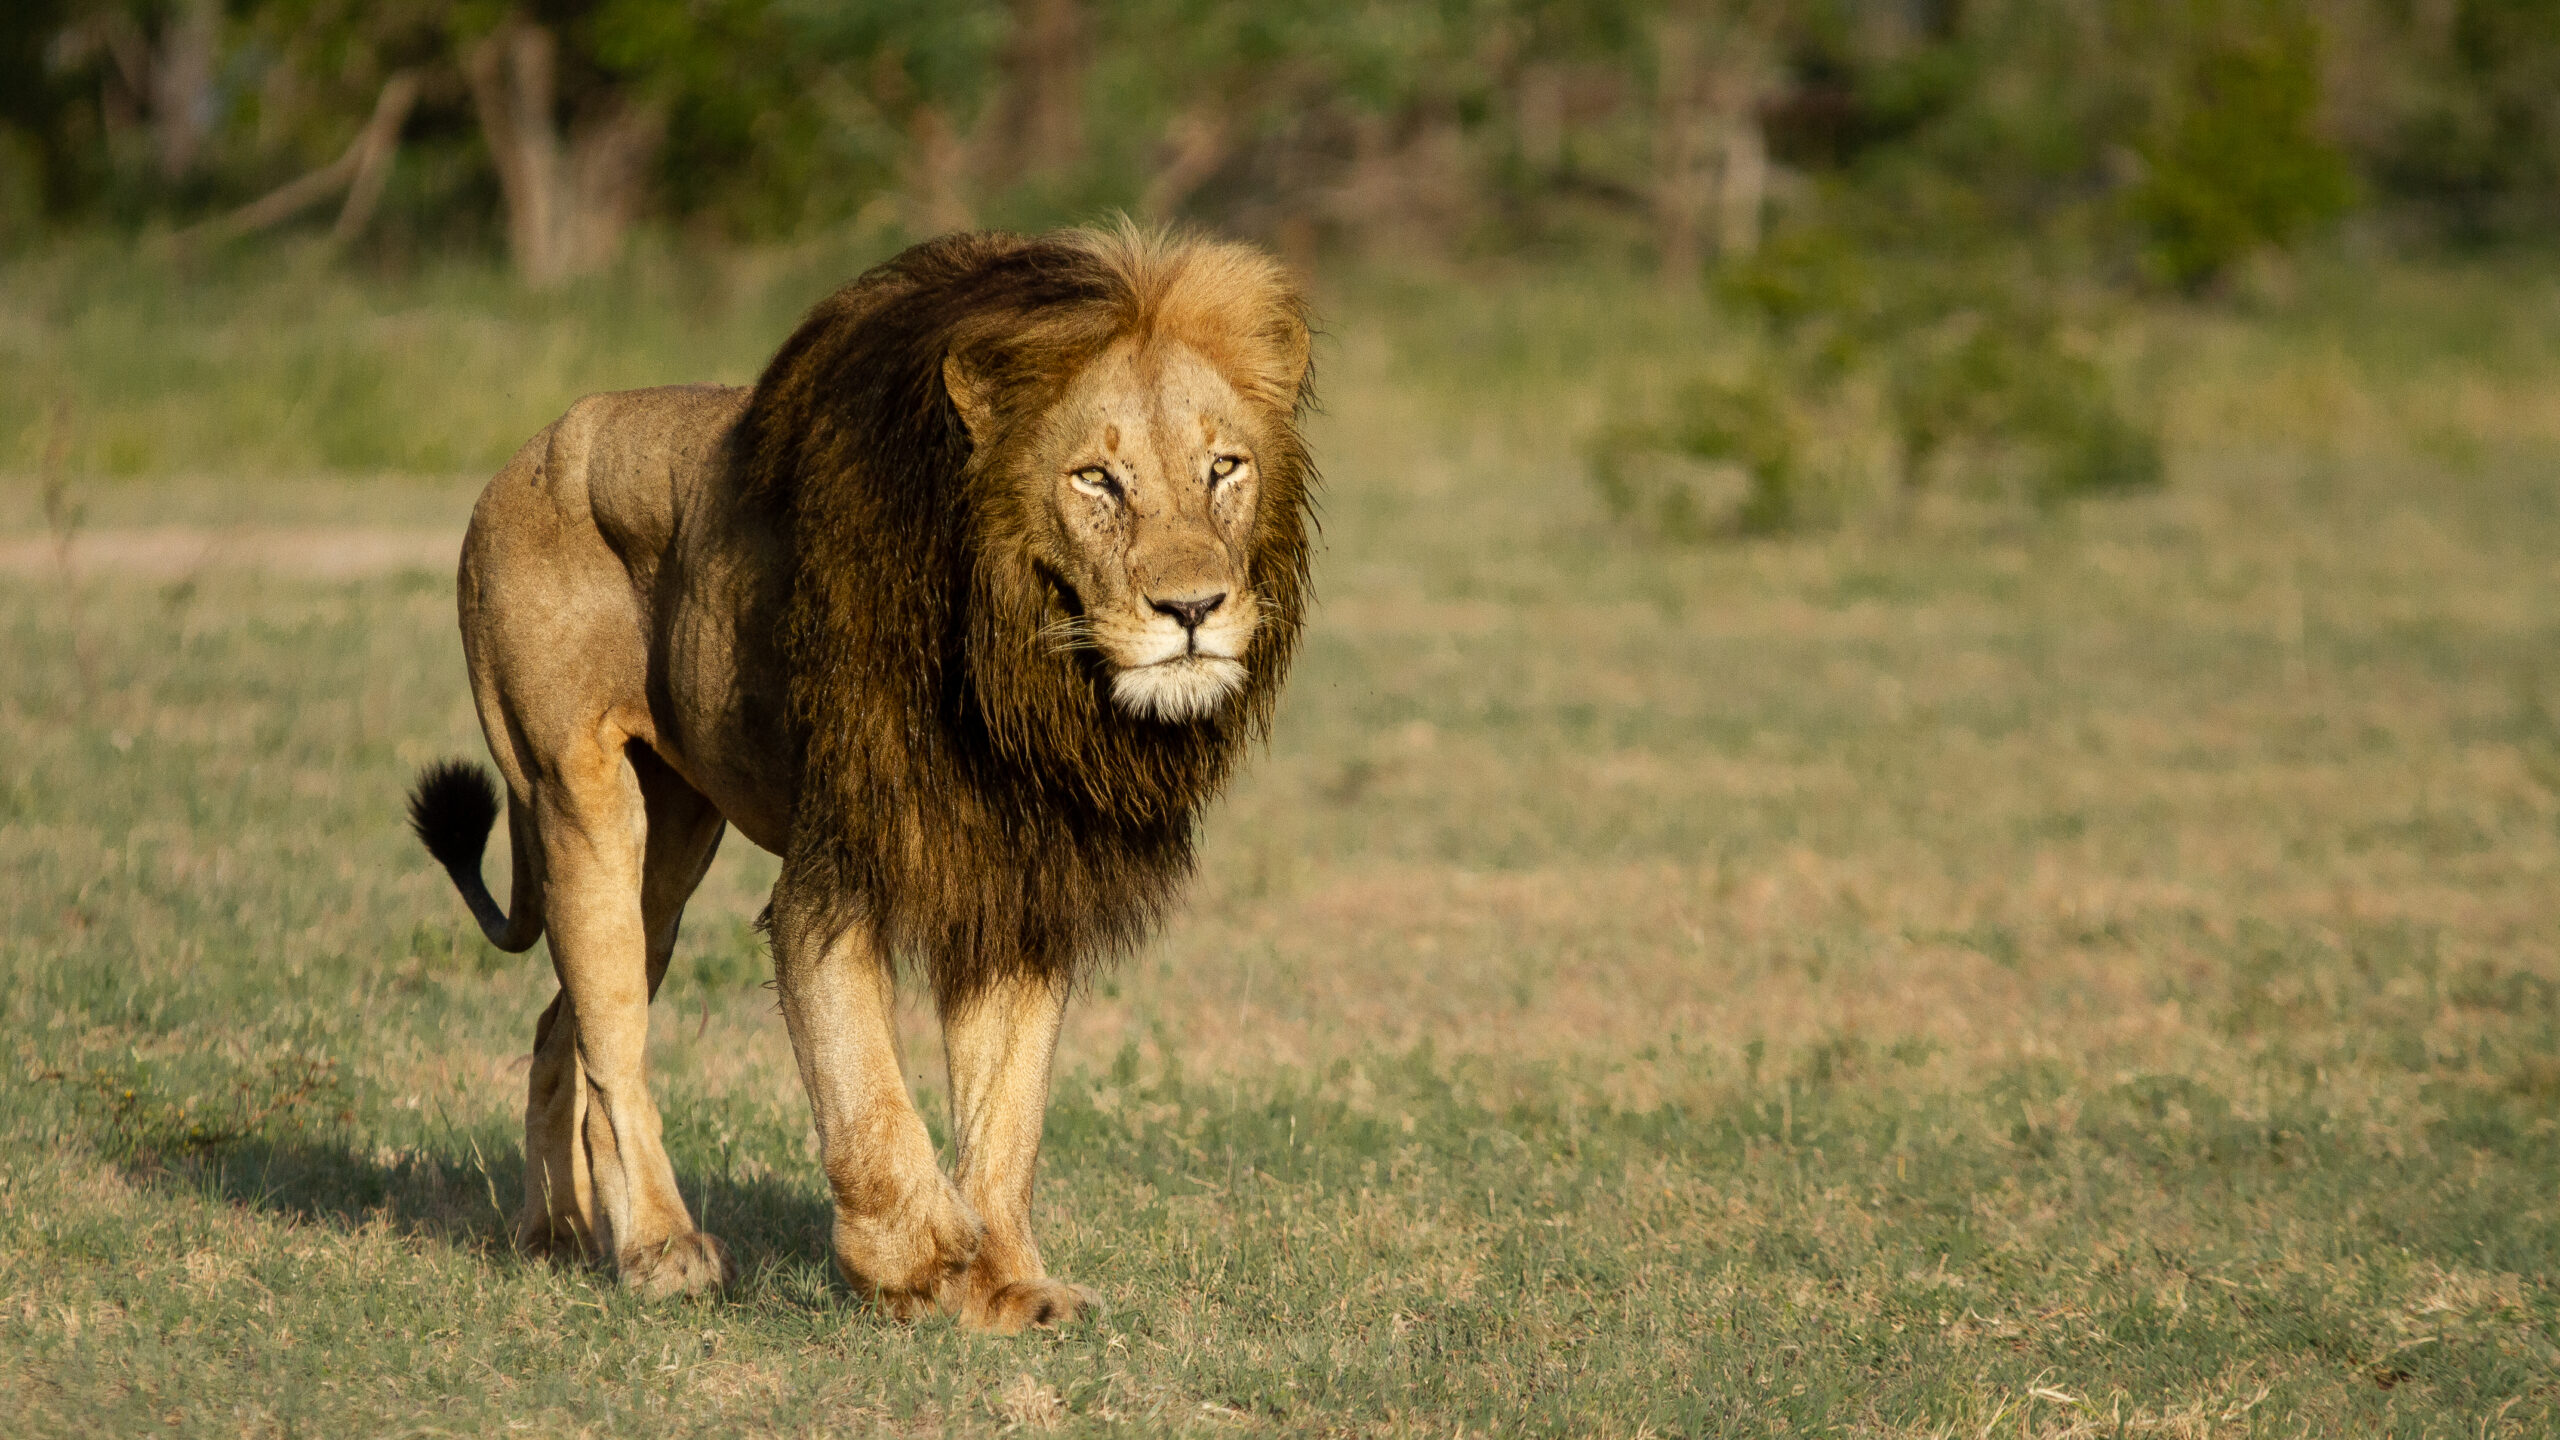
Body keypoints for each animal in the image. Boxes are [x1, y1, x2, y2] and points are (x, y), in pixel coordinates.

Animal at [404, 225, 1314, 1330]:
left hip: (675, 840)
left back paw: (559, 1238)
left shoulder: (1020, 882)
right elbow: (867, 1085)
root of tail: (524, 454)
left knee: (557, 1028)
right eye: (1097, 480)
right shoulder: (835, 874)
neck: (1022, 675)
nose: (1192, 609)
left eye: (1224, 468)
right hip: (575, 799)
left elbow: (1007, 1114)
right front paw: (911, 1254)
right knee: (612, 1037)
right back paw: (660, 1250)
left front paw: (1009, 1286)